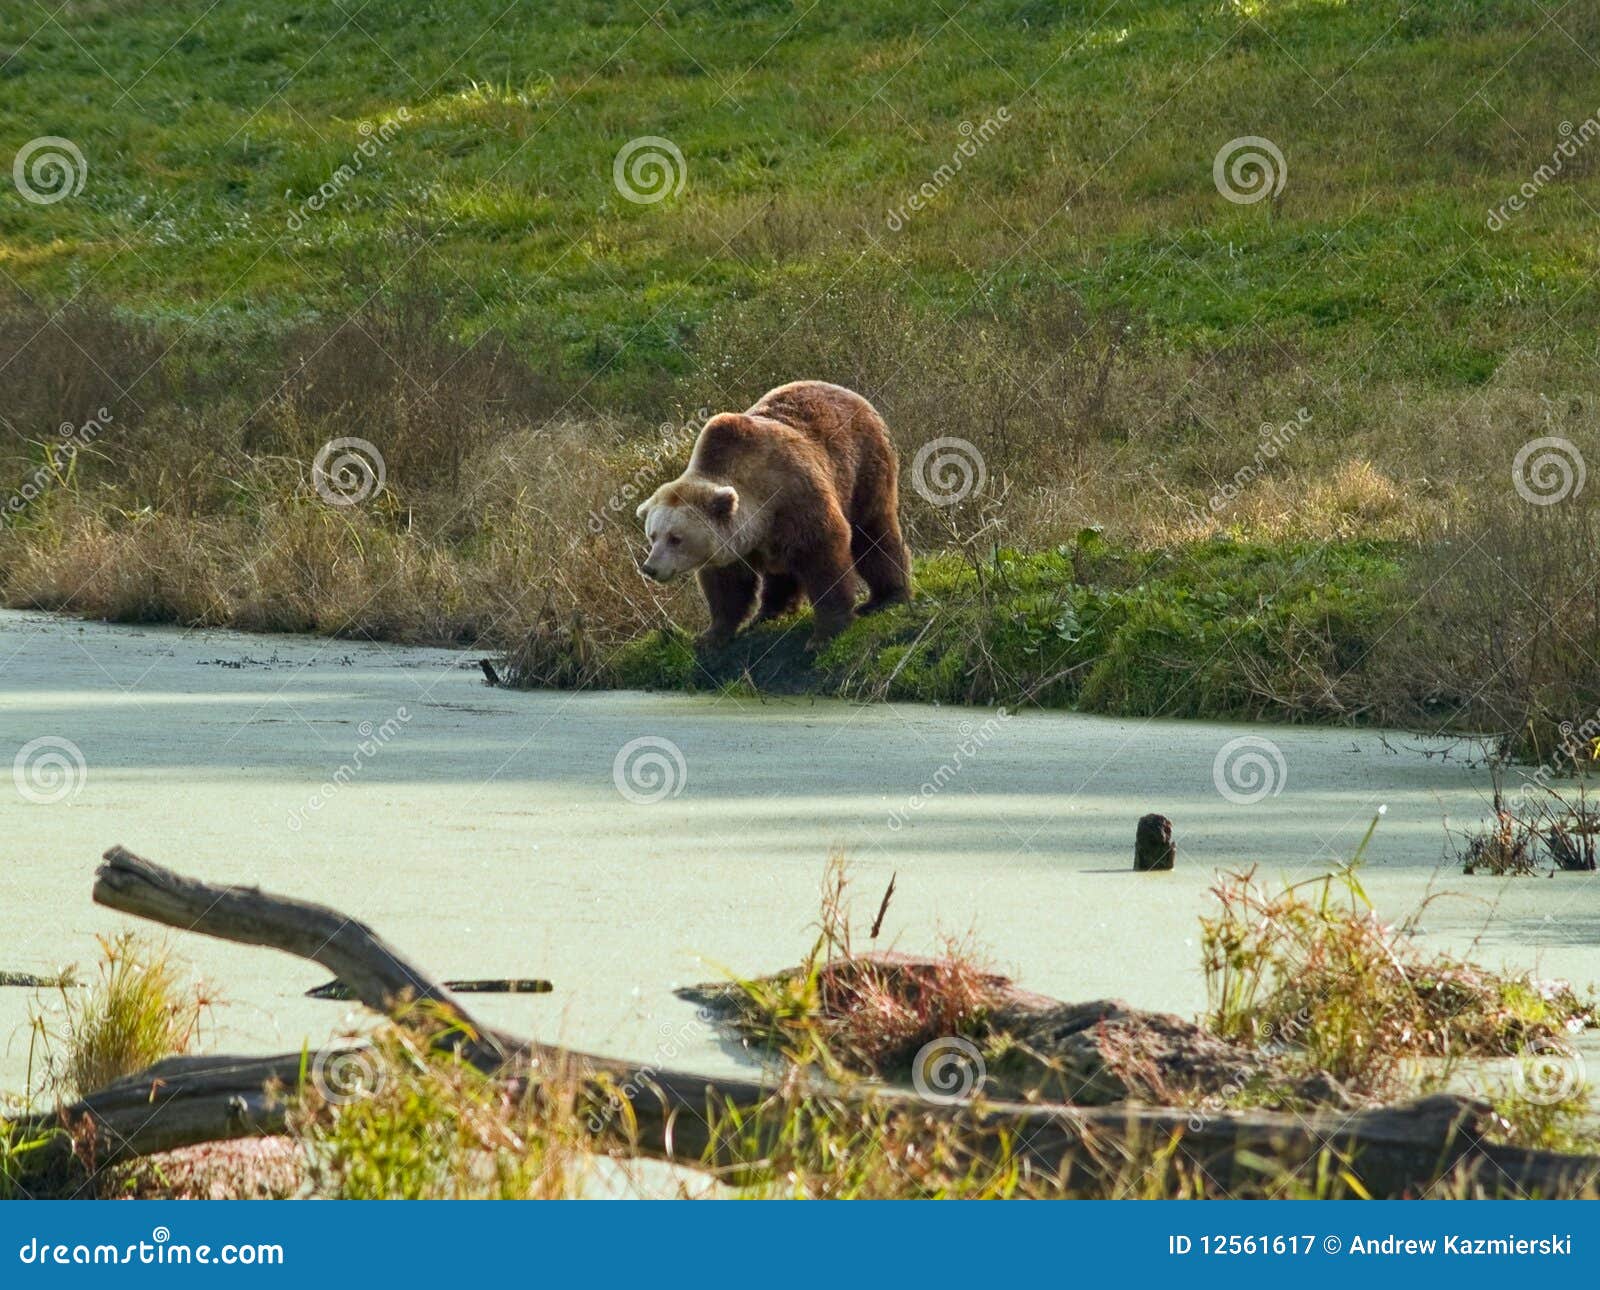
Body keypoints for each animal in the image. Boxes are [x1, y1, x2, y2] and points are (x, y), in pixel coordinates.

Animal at [636, 380, 912, 650]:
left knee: (872, 532)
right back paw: (768, 613)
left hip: (864, 467)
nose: (650, 568)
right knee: (779, 573)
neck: (760, 513)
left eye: (675, 538)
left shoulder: (795, 496)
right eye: (652, 536)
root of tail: (847, 391)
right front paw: (710, 636)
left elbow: (823, 555)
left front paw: (825, 633)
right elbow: (726, 585)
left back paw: (886, 596)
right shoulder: (733, 546)